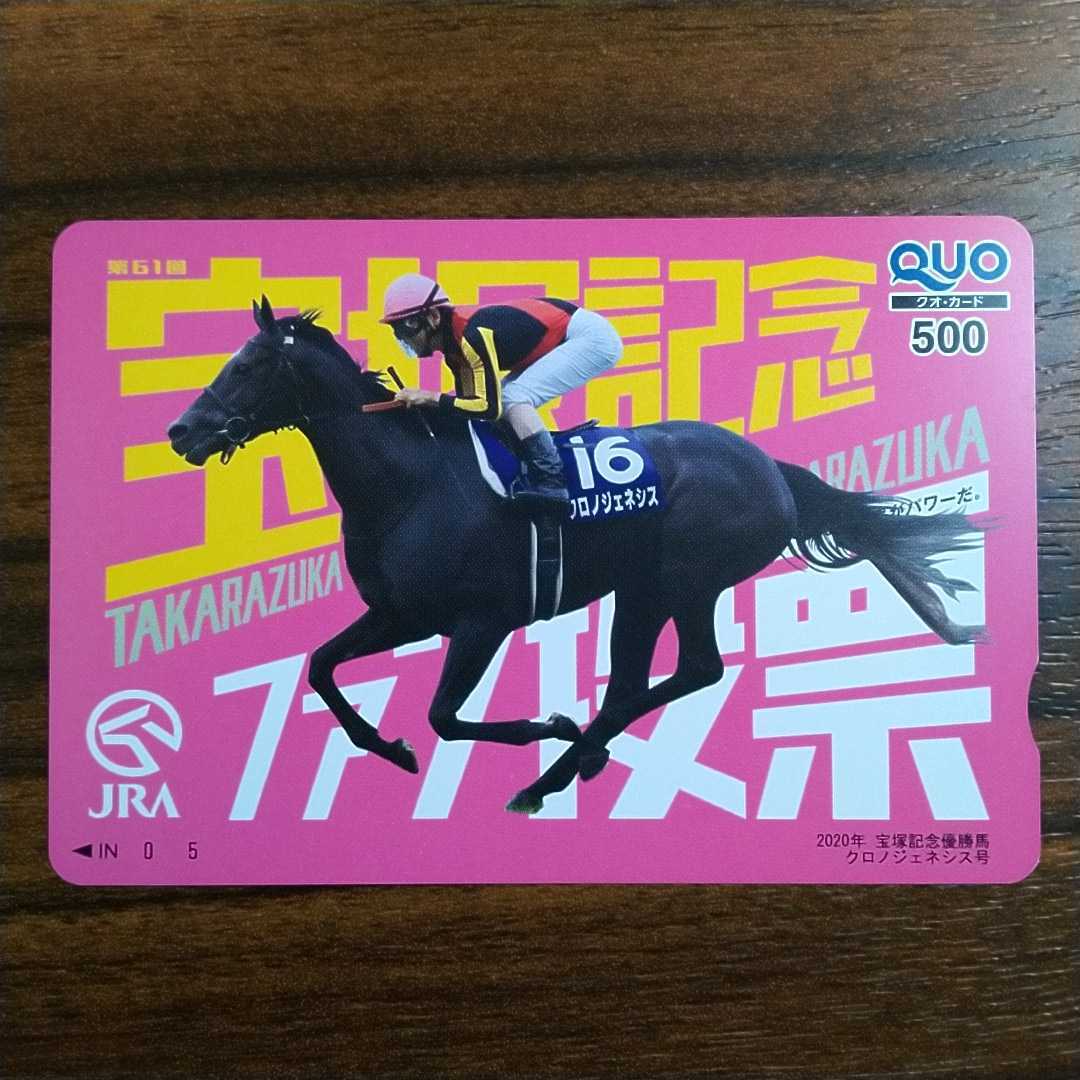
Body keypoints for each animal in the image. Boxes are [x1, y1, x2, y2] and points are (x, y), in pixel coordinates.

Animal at [167, 297, 986, 814]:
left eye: (246, 367)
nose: (182, 432)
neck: (410, 483)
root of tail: (769, 466)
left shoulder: (485, 619)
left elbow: (444, 716)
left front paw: (549, 724)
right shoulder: (404, 614)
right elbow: (322, 668)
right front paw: (389, 747)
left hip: (672, 581)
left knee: (664, 677)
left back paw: (556, 768)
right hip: (650, 587)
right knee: (665, 676)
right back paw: (573, 764)